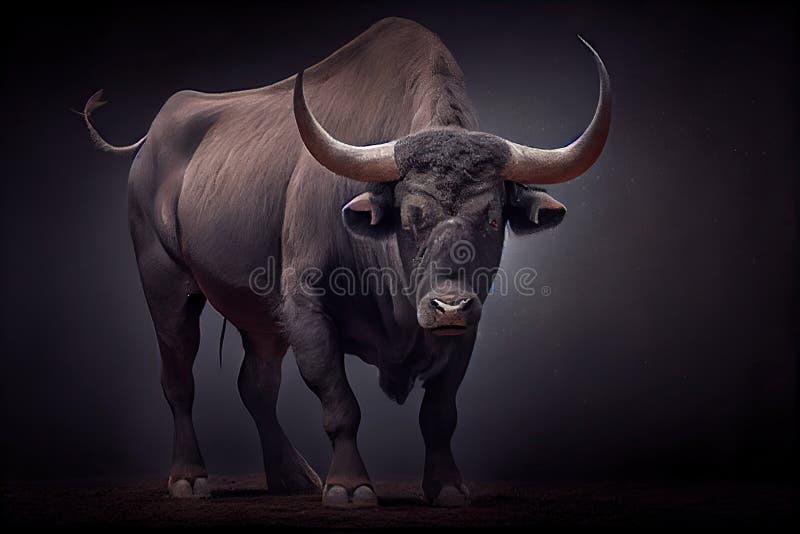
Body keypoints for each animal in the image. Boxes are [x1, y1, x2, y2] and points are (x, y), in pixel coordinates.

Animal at [82, 17, 610, 508]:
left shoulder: (466, 330)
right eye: (410, 216)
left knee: (256, 384)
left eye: (493, 217)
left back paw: (293, 477)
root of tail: (153, 138)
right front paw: (349, 486)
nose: (448, 306)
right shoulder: (307, 309)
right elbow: (339, 403)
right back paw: (189, 478)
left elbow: (440, 413)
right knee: (180, 379)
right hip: (166, 285)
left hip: (261, 318)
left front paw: (447, 486)